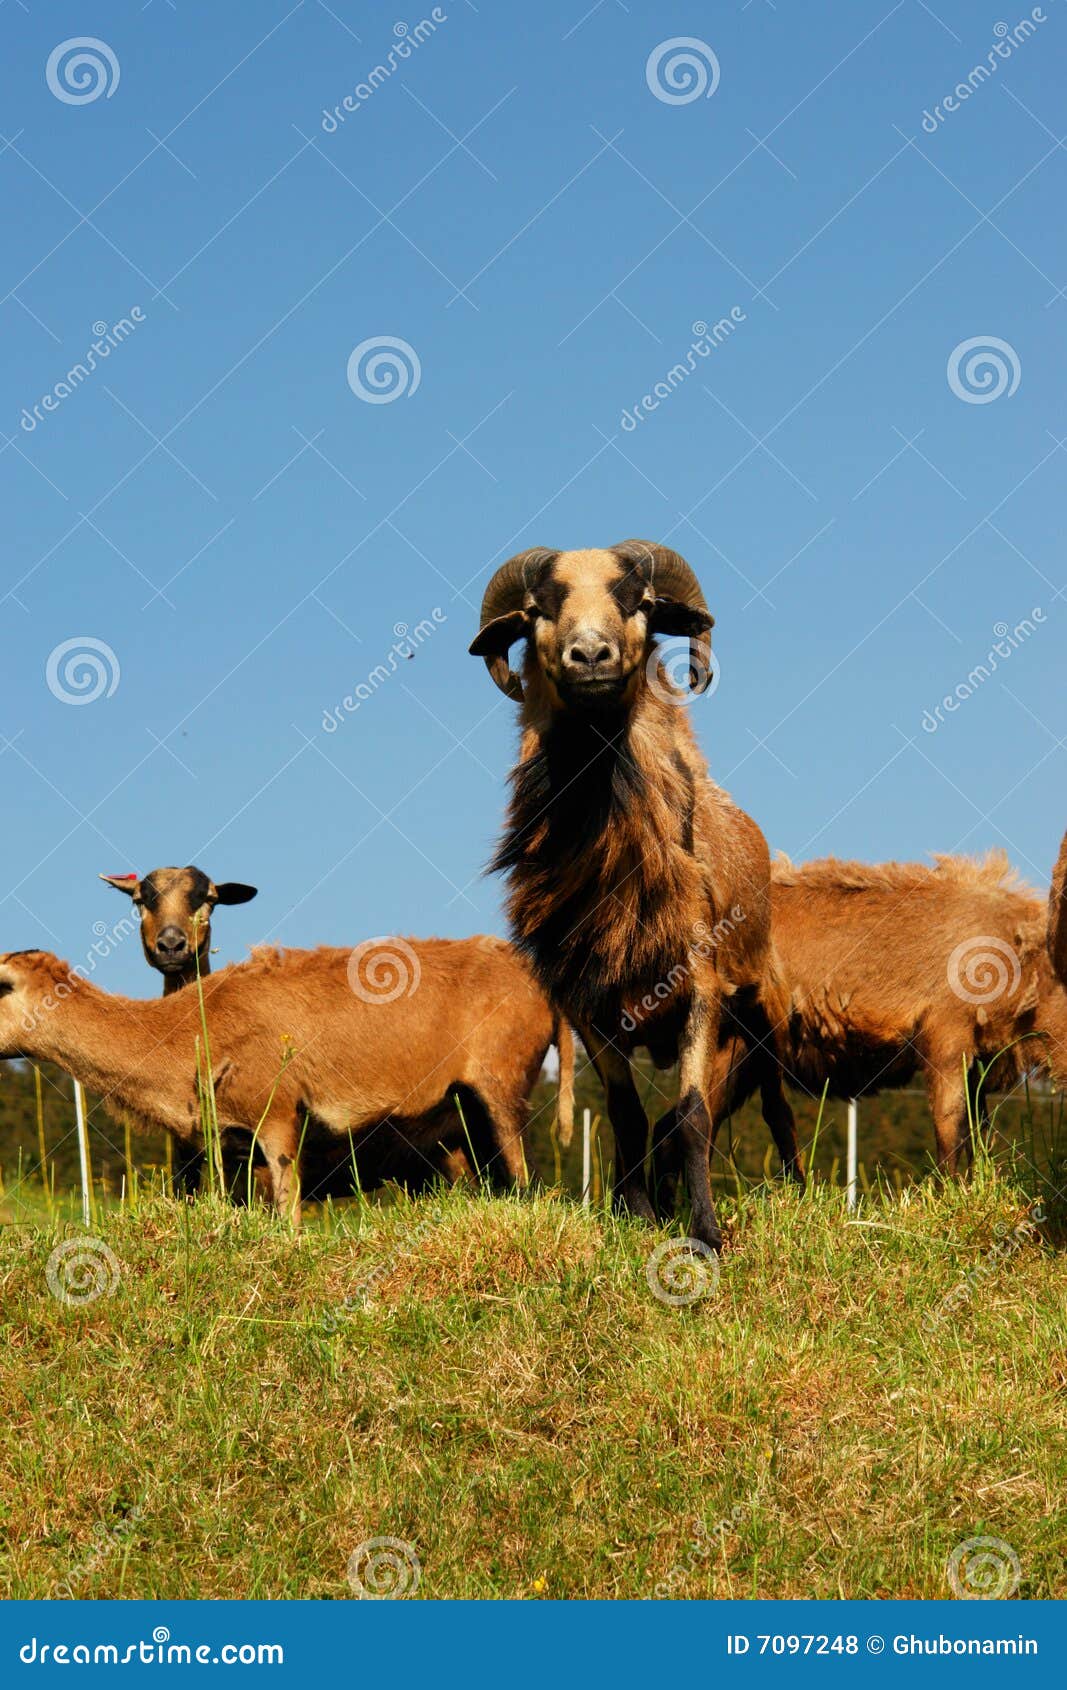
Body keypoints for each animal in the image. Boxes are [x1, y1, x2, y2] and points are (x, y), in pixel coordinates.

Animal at [0, 936, 573, 1219]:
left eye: (4, 984)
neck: (182, 1036)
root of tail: (543, 987)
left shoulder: (276, 1121)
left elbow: (289, 1220)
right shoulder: (227, 1152)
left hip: (500, 1088)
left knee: (524, 1182)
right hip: (457, 1131)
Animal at [469, 540, 799, 1250]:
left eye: (639, 601)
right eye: (538, 608)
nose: (590, 655)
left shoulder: (701, 985)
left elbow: (695, 1114)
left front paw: (706, 1235)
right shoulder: (591, 1004)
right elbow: (628, 1117)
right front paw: (640, 1217)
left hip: (759, 1007)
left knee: (775, 1107)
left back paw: (797, 1186)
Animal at [661, 841, 1067, 1177]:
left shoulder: (979, 1059)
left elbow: (977, 1136)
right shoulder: (946, 1035)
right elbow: (949, 1130)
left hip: (738, 1054)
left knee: (676, 1127)